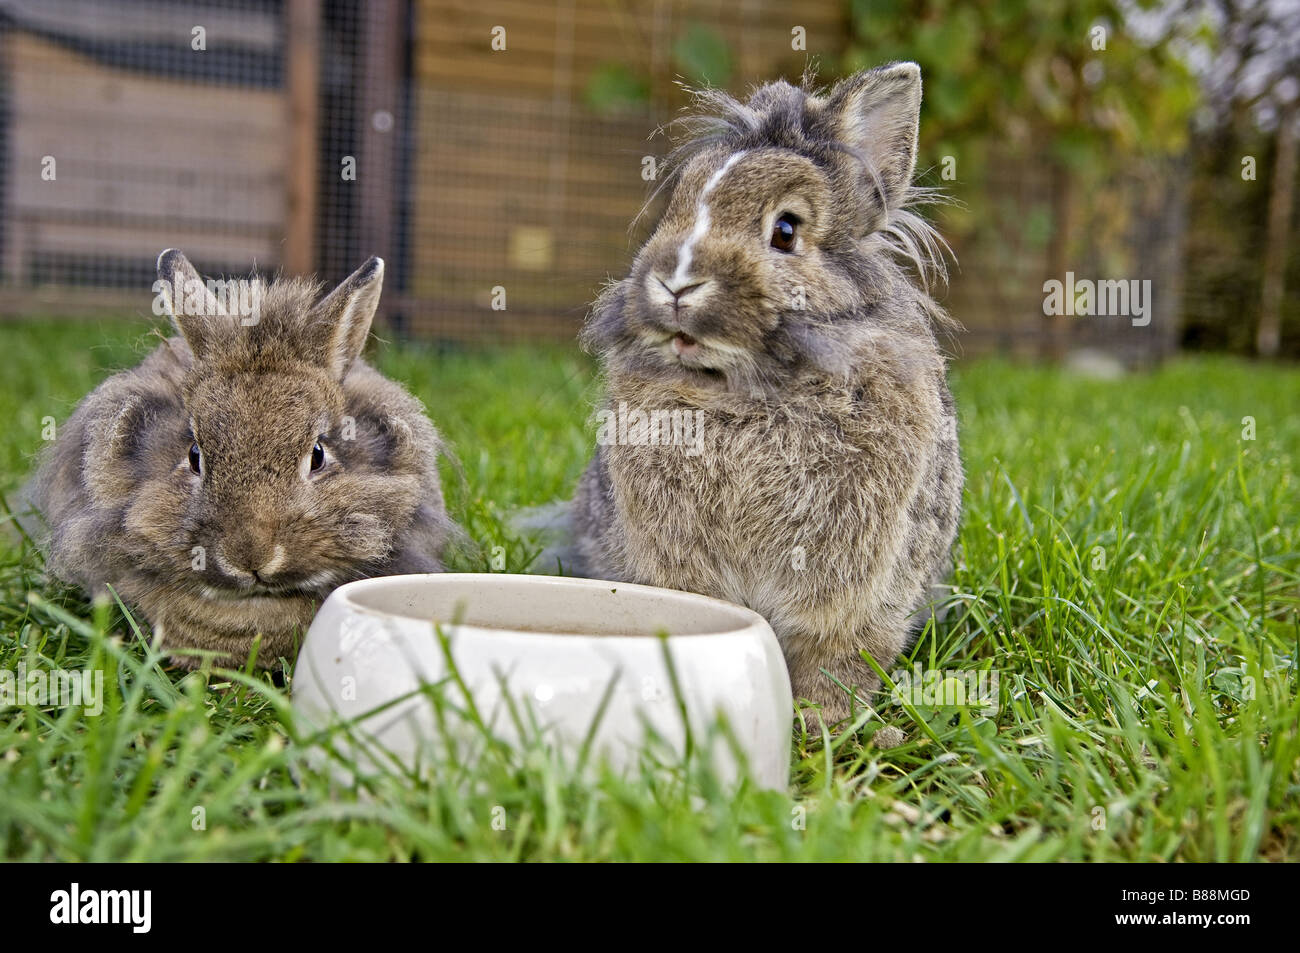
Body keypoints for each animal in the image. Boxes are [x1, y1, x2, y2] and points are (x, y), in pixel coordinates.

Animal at [568, 63, 963, 726]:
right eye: (672, 211)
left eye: (785, 231)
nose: (675, 283)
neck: (747, 386)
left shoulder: (854, 588)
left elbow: (834, 654)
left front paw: (822, 720)